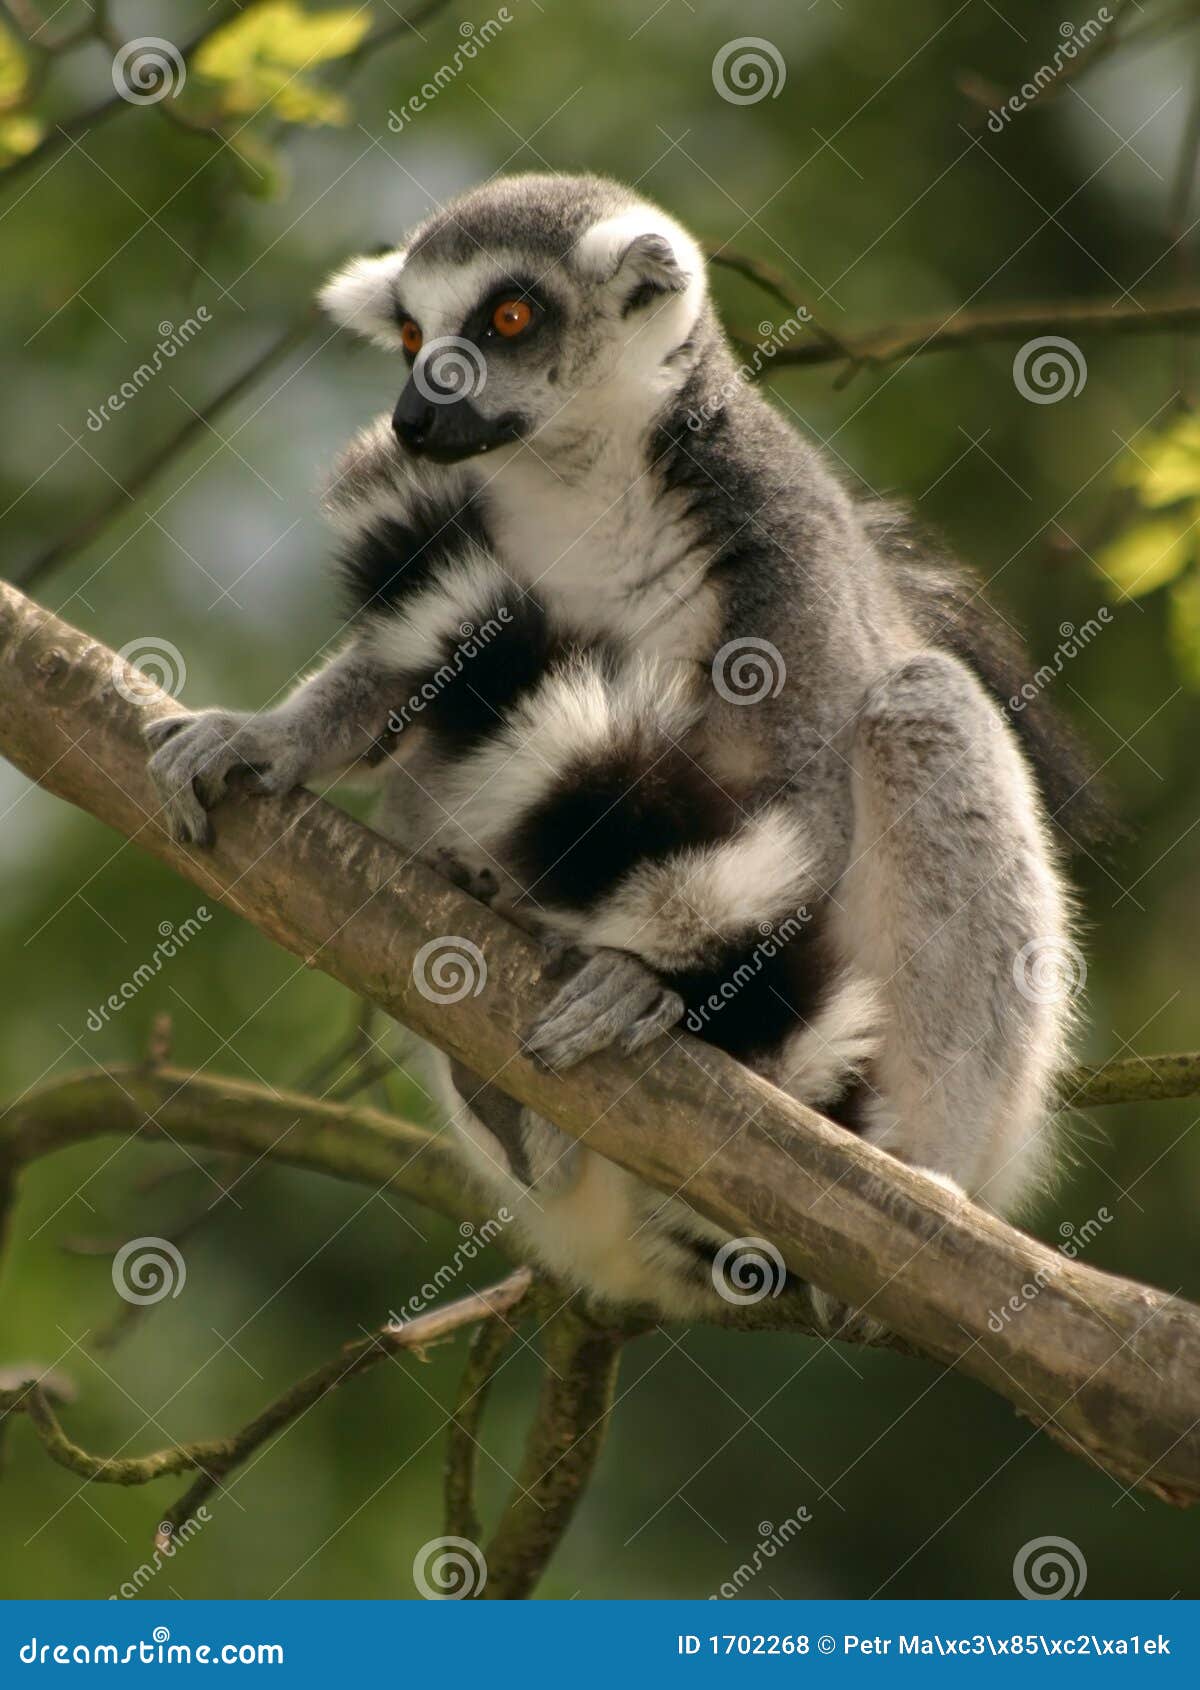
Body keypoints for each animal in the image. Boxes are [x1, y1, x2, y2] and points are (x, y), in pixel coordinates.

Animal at [145, 173, 1088, 1321]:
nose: (413, 417)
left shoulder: (778, 528)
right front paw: (269, 739)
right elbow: (412, 693)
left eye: (508, 318)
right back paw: (509, 1097)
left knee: (922, 707)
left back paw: (927, 1174)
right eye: (412, 333)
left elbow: (810, 774)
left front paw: (652, 979)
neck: (578, 479)